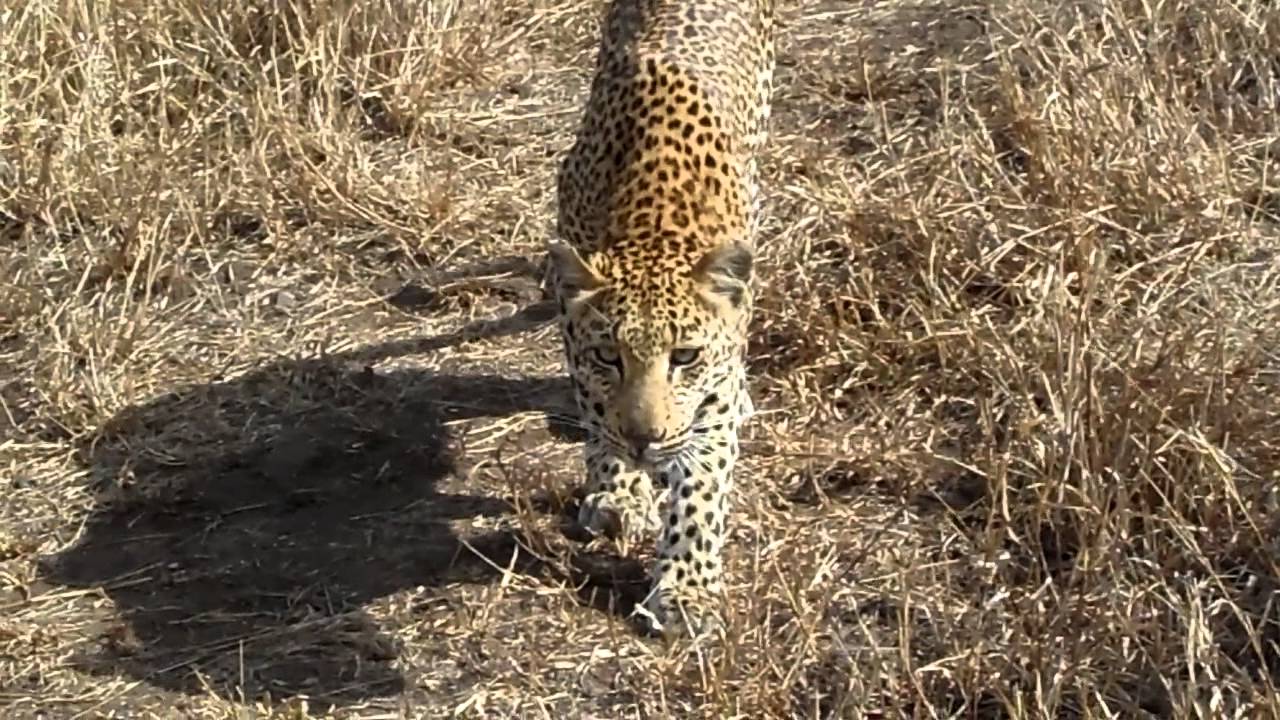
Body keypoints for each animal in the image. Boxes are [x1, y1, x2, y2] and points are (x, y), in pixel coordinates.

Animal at [547, 0, 776, 637]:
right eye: (608, 356)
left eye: (685, 357)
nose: (644, 440)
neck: (650, 224)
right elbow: (596, 412)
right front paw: (619, 491)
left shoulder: (713, 385)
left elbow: (701, 483)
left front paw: (686, 588)